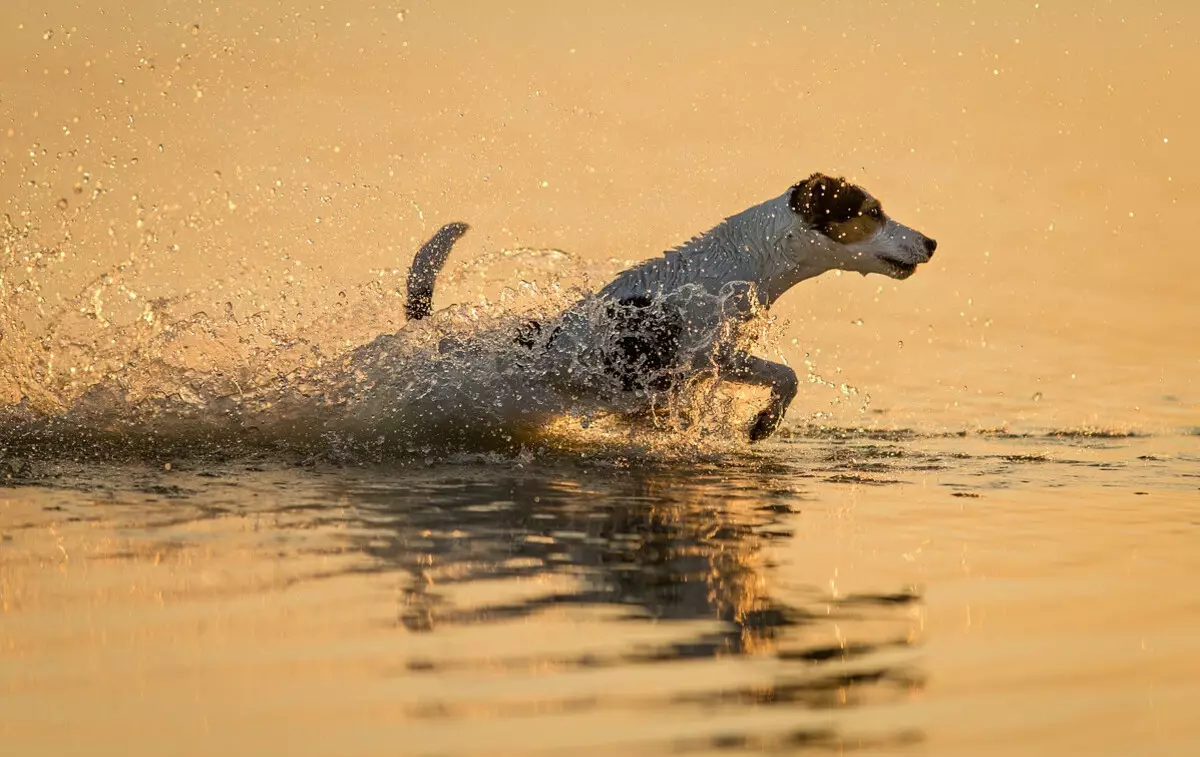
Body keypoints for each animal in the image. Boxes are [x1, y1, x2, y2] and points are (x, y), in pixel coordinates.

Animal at [403, 173, 936, 441]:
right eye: (872, 212)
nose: (932, 241)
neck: (741, 260)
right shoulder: (704, 357)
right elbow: (785, 375)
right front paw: (763, 423)